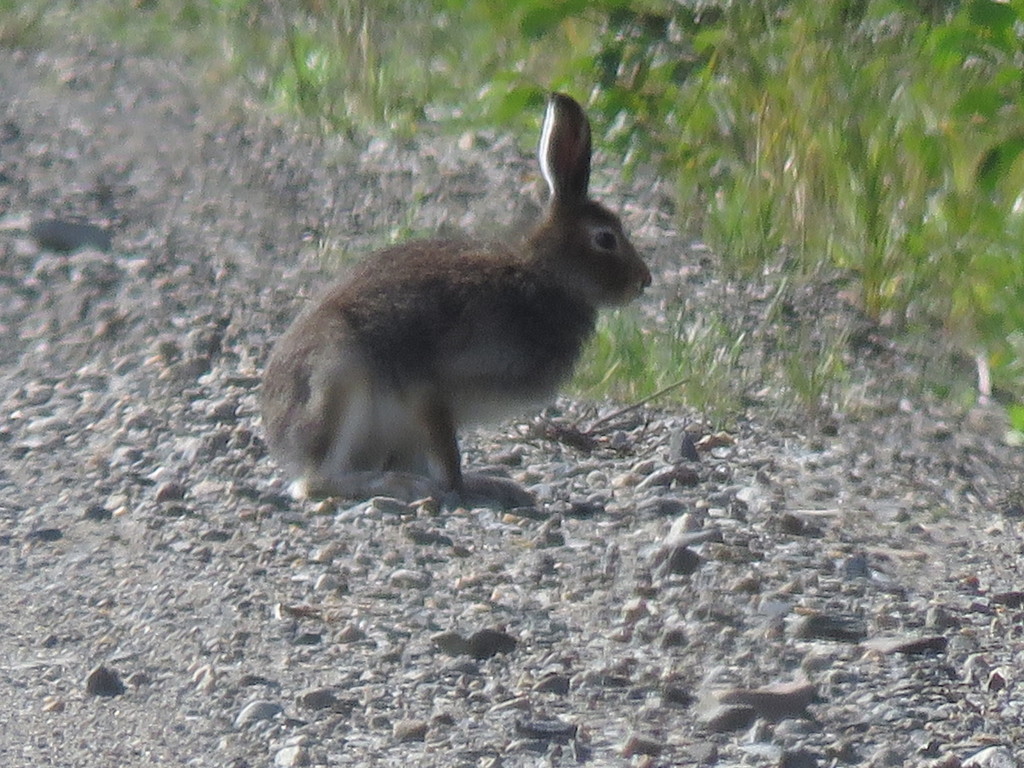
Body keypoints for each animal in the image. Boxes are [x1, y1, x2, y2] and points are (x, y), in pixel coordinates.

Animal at [261, 92, 651, 506]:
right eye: (606, 238)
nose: (644, 281)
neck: (546, 275)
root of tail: (284, 444)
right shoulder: (431, 389)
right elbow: (448, 456)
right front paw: (454, 489)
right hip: (340, 380)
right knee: (315, 482)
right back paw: (400, 486)